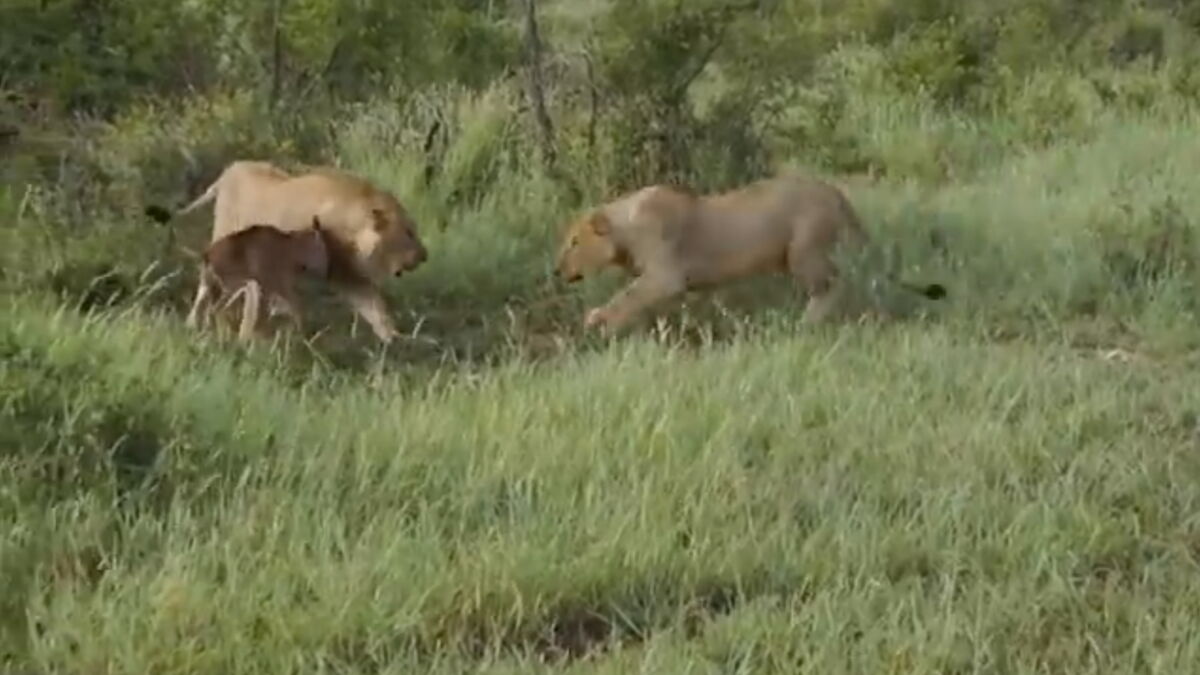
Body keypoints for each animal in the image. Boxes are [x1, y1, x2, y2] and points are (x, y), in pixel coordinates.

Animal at [192, 217, 330, 341]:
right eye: (323, 249)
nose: (325, 270)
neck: (292, 247)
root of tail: (207, 255)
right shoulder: (277, 284)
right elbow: (293, 307)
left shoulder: (267, 285)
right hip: (230, 287)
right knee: (214, 311)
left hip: (208, 286)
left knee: (201, 310)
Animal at [554, 173, 946, 333]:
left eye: (573, 242)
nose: (556, 271)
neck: (624, 229)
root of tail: (835, 192)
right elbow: (639, 300)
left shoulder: (666, 276)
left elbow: (627, 296)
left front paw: (600, 320)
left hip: (803, 251)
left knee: (832, 284)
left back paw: (805, 324)